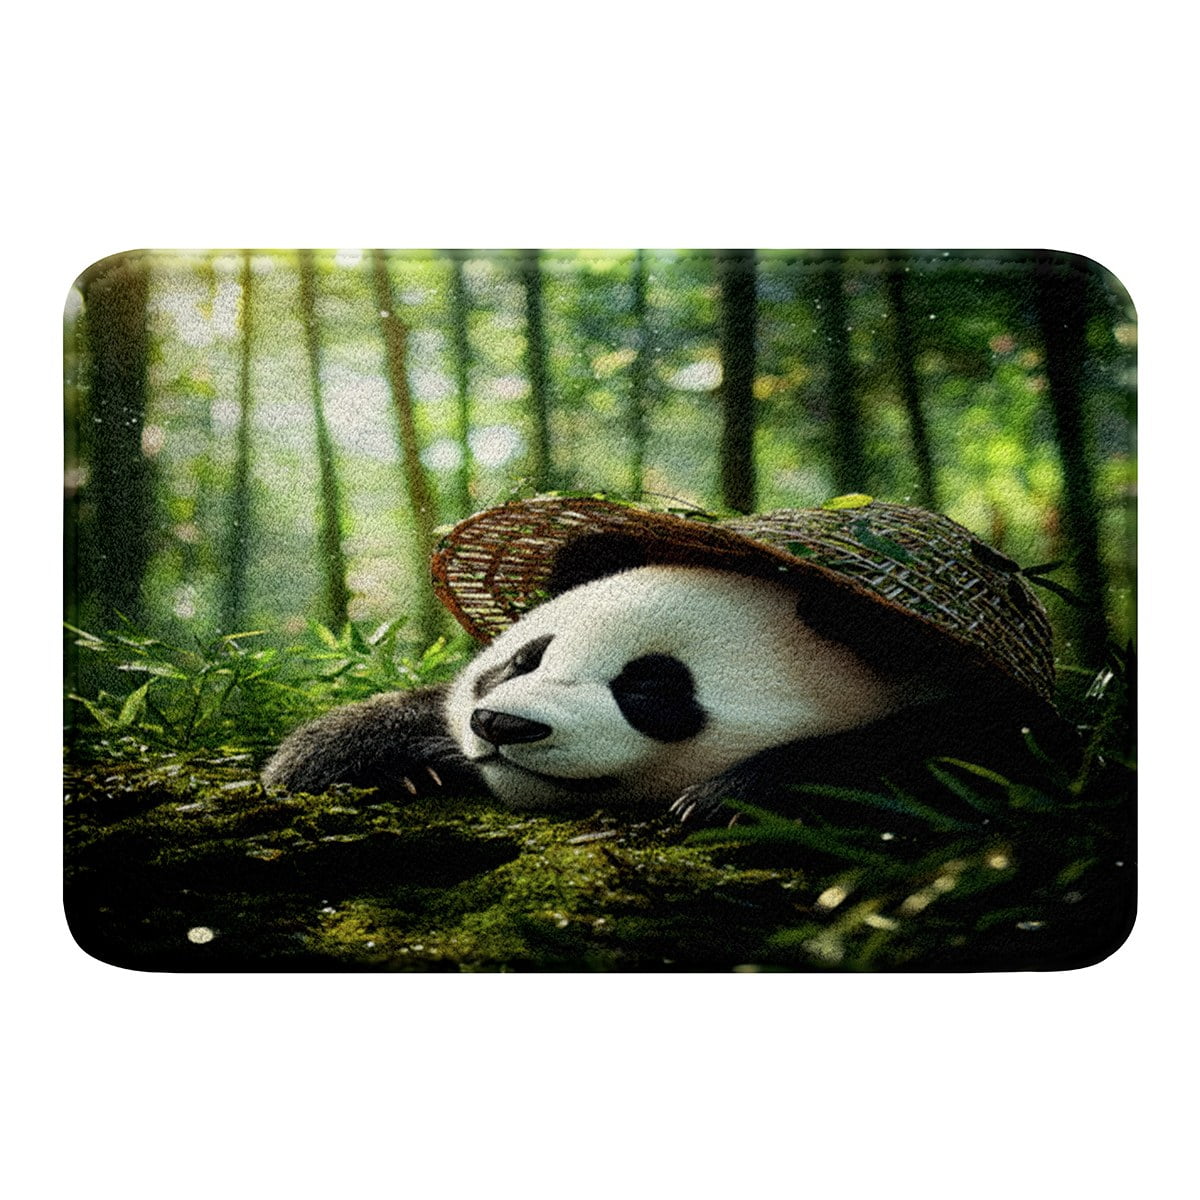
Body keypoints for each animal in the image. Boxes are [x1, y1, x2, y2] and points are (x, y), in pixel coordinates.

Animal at [261, 531, 1064, 825]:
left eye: (649, 690)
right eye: (525, 659)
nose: (501, 725)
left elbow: (939, 757)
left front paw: (724, 798)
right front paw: (396, 760)